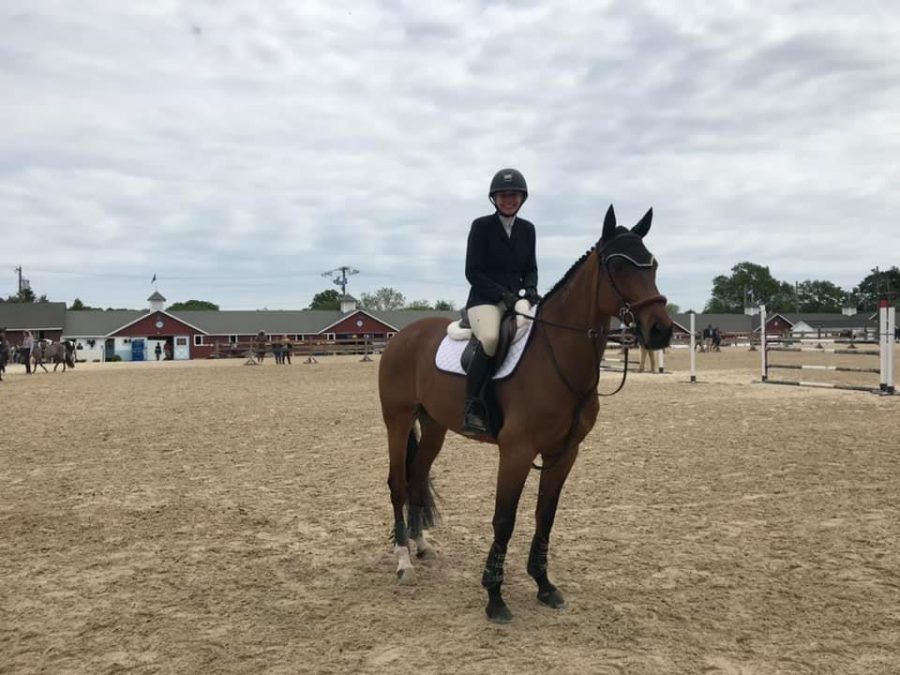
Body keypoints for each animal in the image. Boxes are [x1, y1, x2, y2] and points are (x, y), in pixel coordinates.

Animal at [378, 205, 673, 623]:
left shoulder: (563, 453)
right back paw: (403, 561)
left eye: (653, 264)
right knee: (398, 483)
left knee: (418, 476)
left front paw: (544, 585)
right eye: (618, 266)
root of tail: (402, 336)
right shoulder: (516, 452)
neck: (557, 355)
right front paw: (495, 597)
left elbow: (545, 515)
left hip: (433, 425)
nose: (661, 330)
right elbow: (505, 519)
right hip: (398, 420)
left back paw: (422, 546)